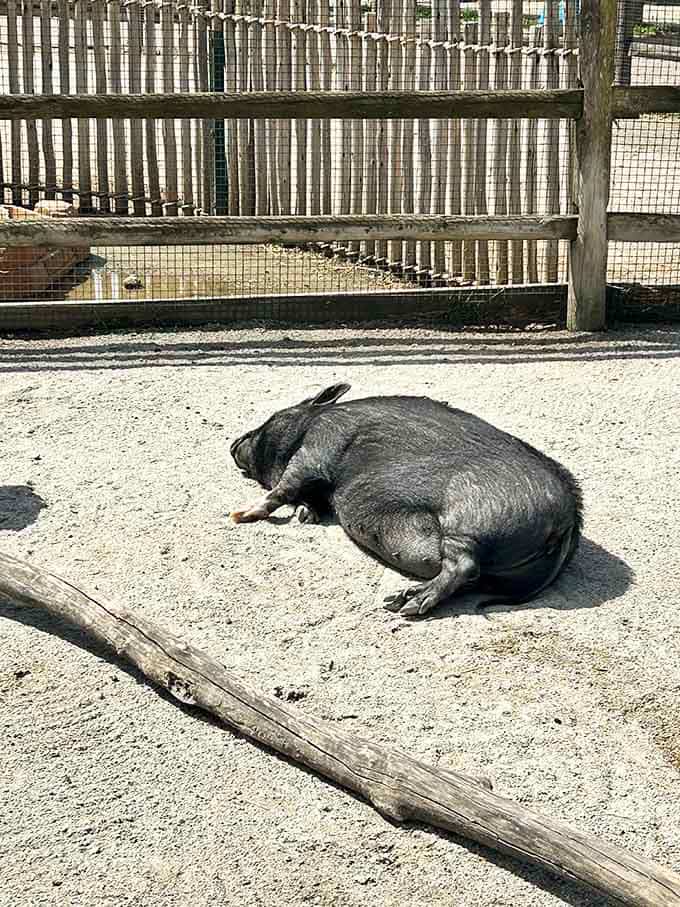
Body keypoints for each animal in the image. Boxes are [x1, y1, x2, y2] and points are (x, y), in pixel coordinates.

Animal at [229, 383, 582, 617]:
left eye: (271, 418)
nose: (233, 442)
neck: (313, 420)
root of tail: (570, 519)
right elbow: (307, 499)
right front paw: (306, 515)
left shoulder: (318, 446)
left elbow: (284, 487)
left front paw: (239, 515)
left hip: (471, 520)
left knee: (464, 566)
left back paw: (402, 605)